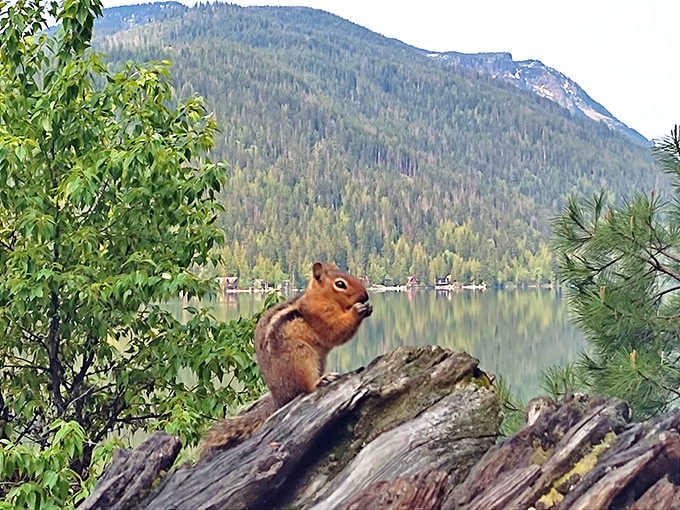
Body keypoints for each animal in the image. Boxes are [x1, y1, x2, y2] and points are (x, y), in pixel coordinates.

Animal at [199, 262, 372, 458]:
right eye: (340, 284)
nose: (365, 296)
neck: (321, 298)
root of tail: (279, 398)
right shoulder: (321, 317)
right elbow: (336, 330)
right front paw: (358, 310)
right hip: (301, 356)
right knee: (305, 388)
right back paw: (322, 380)